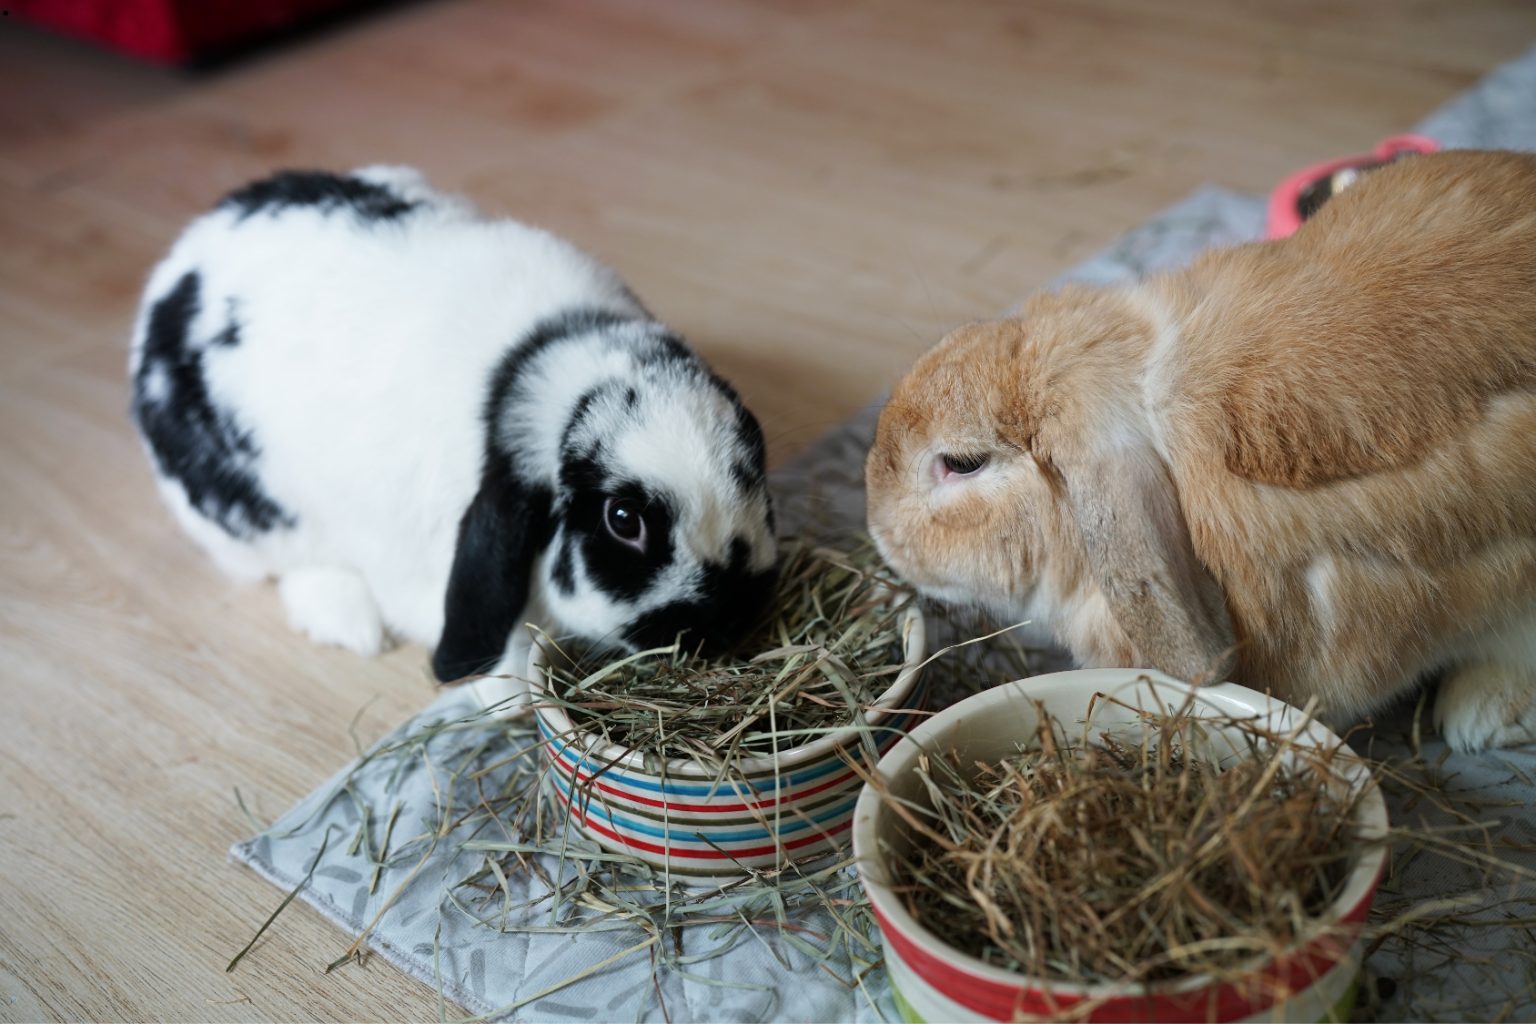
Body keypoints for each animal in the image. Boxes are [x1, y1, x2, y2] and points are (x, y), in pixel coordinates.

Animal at [130, 166, 778, 695]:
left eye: (753, 458)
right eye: (623, 521)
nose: (734, 617)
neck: (531, 360)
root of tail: (177, 263)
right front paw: (508, 696)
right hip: (247, 523)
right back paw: (349, 622)